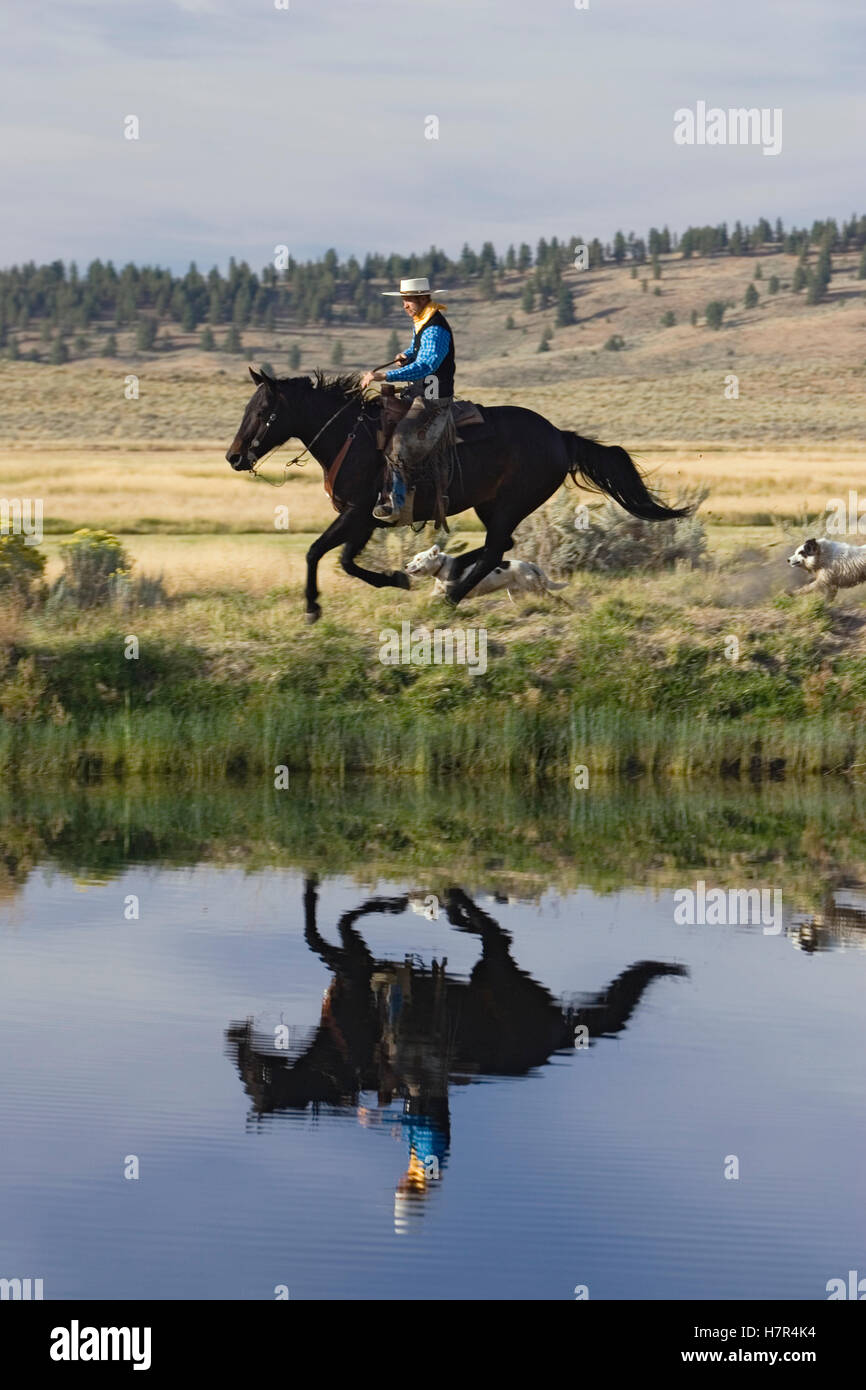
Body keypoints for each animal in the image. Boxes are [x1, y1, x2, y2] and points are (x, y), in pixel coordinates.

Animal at [226, 367, 689, 624]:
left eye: (264, 412)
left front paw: (311, 608)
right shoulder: (366, 518)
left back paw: (451, 593)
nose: (234, 457)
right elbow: (344, 561)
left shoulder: (356, 513)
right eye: (246, 409)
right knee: (497, 547)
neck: (350, 438)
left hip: (508, 504)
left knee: (497, 547)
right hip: (491, 504)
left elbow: (318, 552)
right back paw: (452, 574)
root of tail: (560, 435)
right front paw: (397, 577)